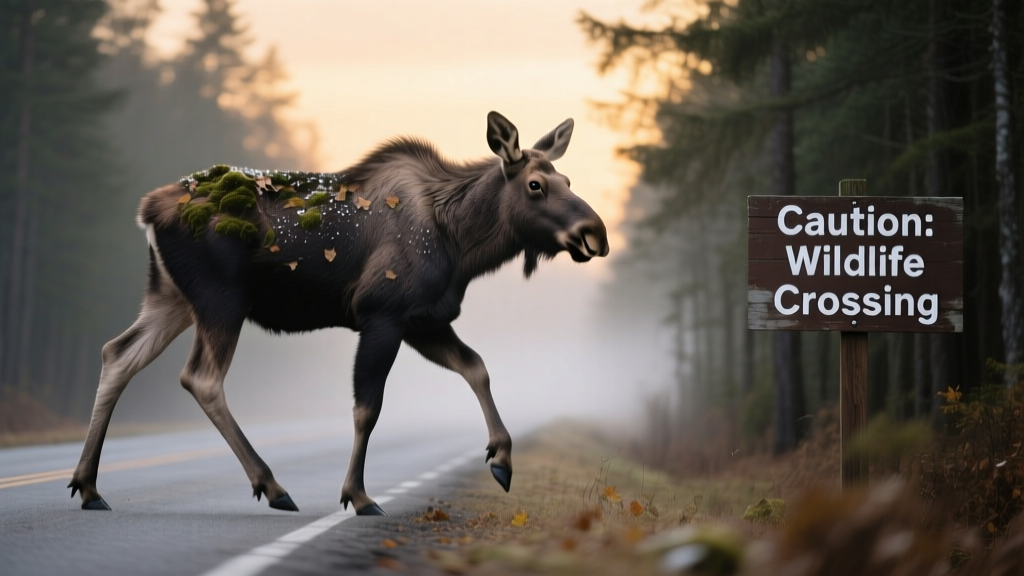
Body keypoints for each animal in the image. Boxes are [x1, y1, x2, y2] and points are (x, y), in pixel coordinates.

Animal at [68, 111, 609, 516]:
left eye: (567, 178)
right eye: (536, 184)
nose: (595, 234)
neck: (462, 242)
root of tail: (146, 211)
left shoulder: (424, 320)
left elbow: (477, 367)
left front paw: (501, 460)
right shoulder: (383, 313)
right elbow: (368, 407)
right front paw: (358, 495)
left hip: (172, 297)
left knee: (118, 354)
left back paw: (88, 486)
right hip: (221, 299)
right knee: (200, 377)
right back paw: (273, 485)